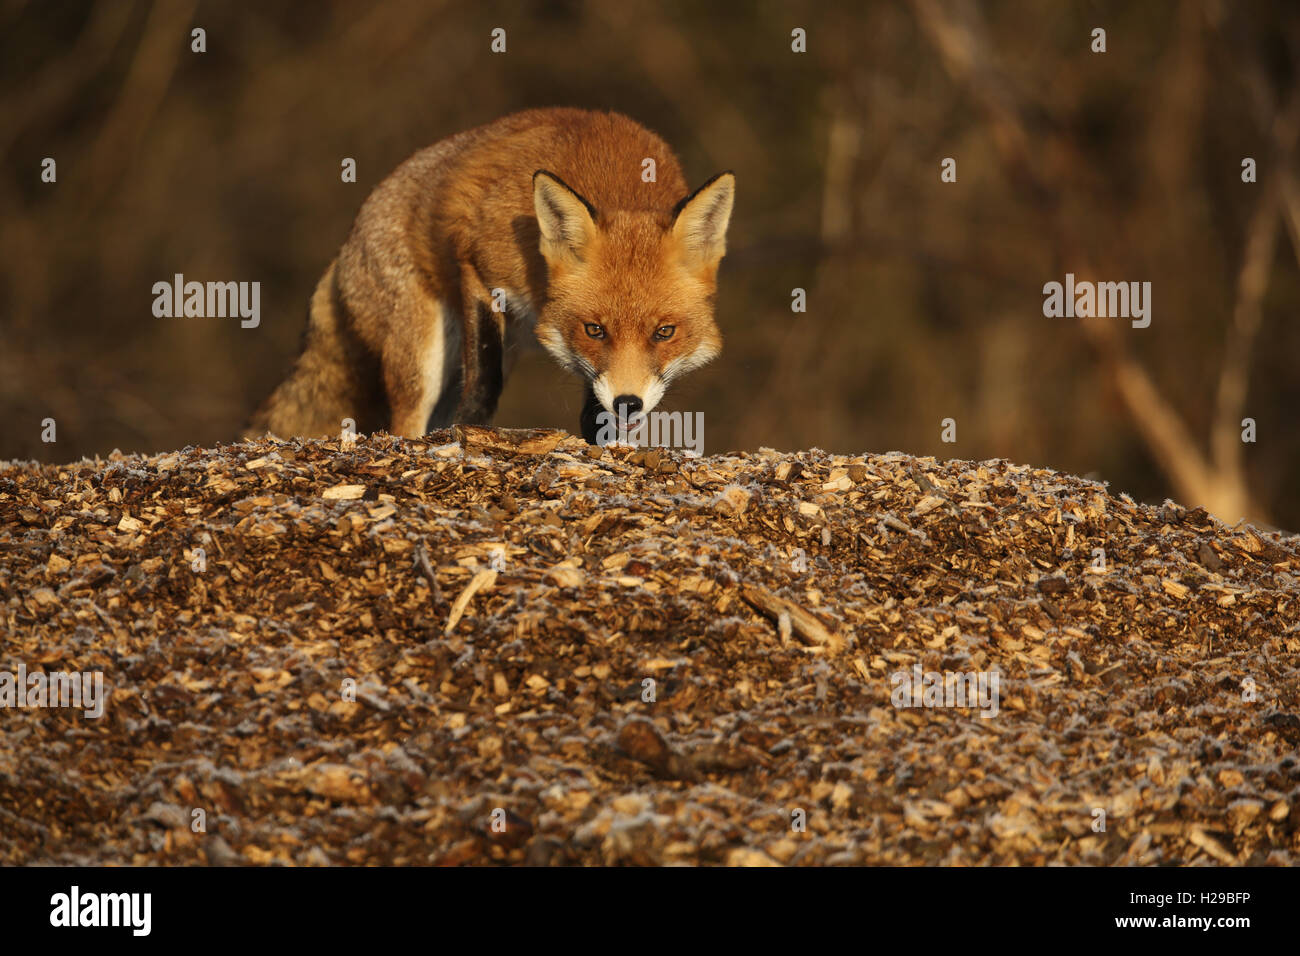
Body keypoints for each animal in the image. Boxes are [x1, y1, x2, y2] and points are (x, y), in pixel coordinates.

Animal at [245, 108, 734, 445]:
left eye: (664, 332)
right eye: (594, 329)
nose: (628, 403)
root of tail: (345, 248)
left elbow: (591, 406)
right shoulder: (479, 268)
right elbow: (485, 380)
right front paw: (472, 430)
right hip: (423, 354)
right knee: (404, 422)